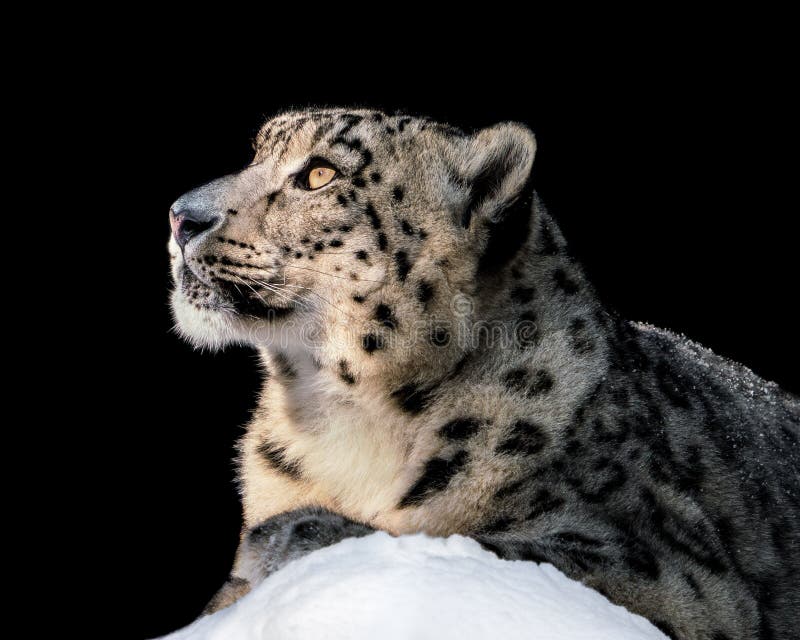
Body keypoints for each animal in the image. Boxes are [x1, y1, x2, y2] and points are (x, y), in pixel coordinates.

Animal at [167, 108, 800, 639]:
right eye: (255, 153)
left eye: (321, 174)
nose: (180, 217)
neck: (335, 419)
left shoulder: (677, 580)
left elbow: (483, 544)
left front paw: (290, 536)